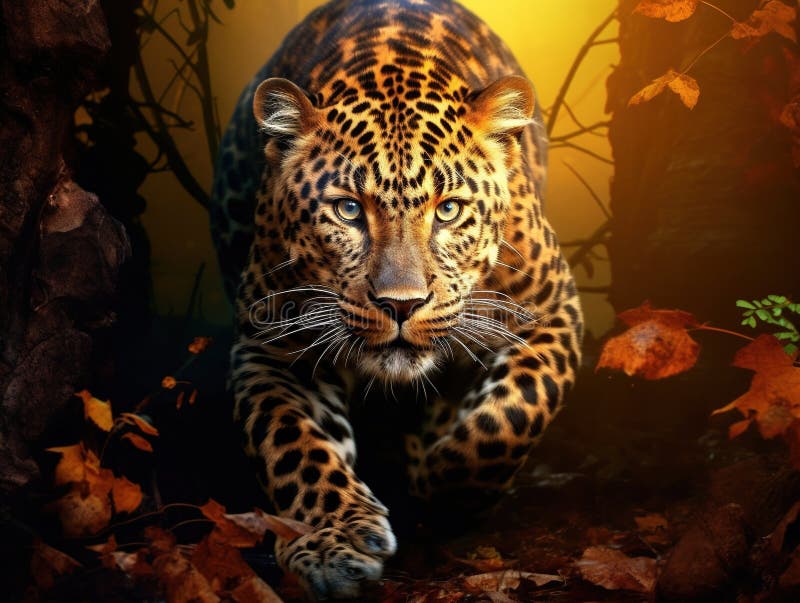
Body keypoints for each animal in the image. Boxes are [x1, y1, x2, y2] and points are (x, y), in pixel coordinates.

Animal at [210, 0, 584, 599]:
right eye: (347, 210)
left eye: (449, 209)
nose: (402, 305)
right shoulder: (270, 347)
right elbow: (290, 442)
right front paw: (333, 543)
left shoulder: (550, 312)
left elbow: (513, 414)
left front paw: (445, 491)